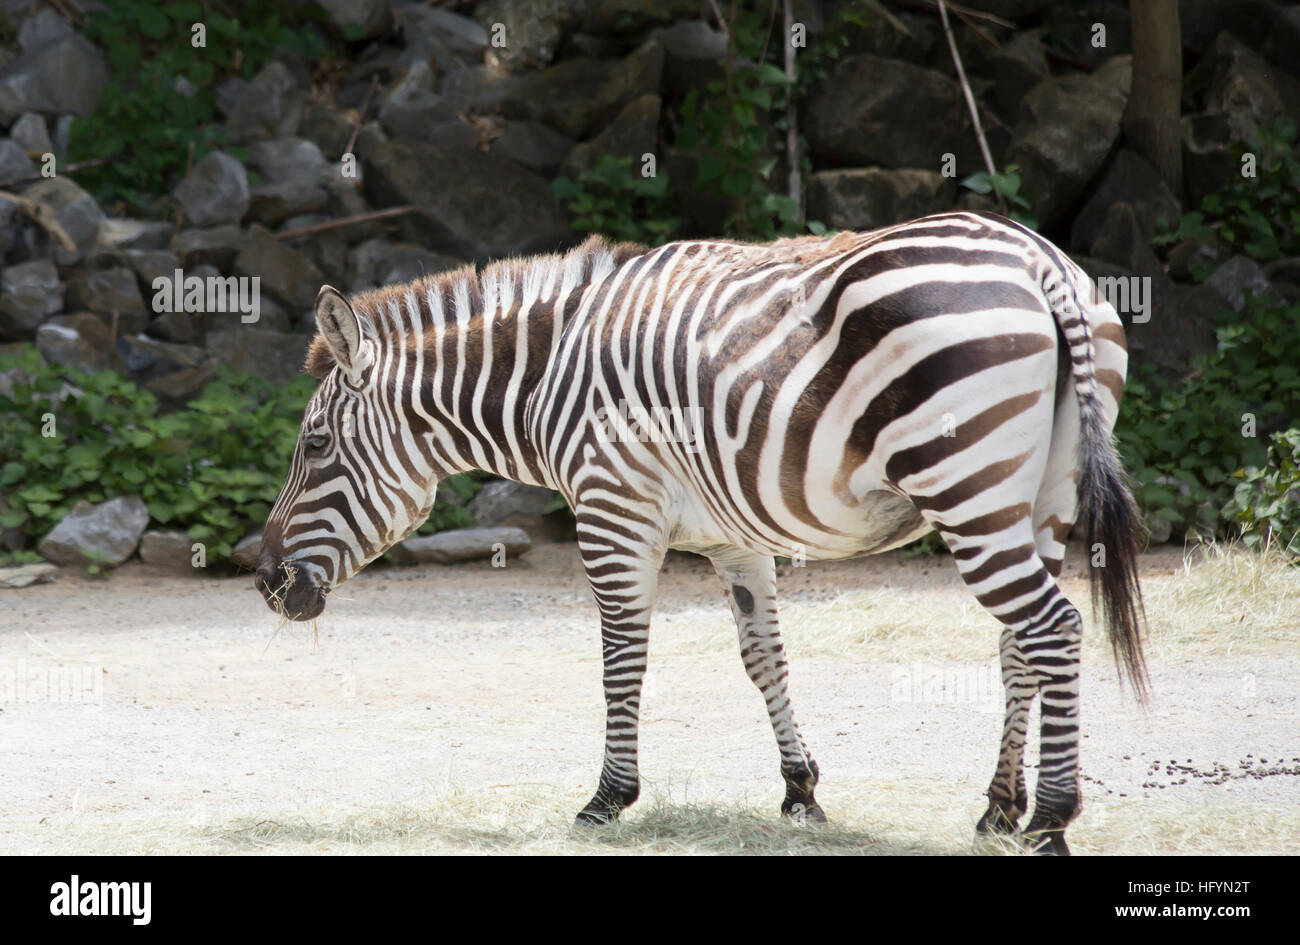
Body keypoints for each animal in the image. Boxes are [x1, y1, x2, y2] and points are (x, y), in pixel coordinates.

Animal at [254, 210, 1146, 855]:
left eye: (315, 446)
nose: (264, 582)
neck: (546, 379)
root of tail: (1038, 259)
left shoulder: (612, 510)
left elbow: (621, 659)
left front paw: (607, 798)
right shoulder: (735, 535)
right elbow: (764, 658)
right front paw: (800, 789)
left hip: (966, 484)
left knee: (1053, 627)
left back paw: (1051, 818)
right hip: (1041, 497)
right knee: (1019, 641)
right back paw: (998, 809)